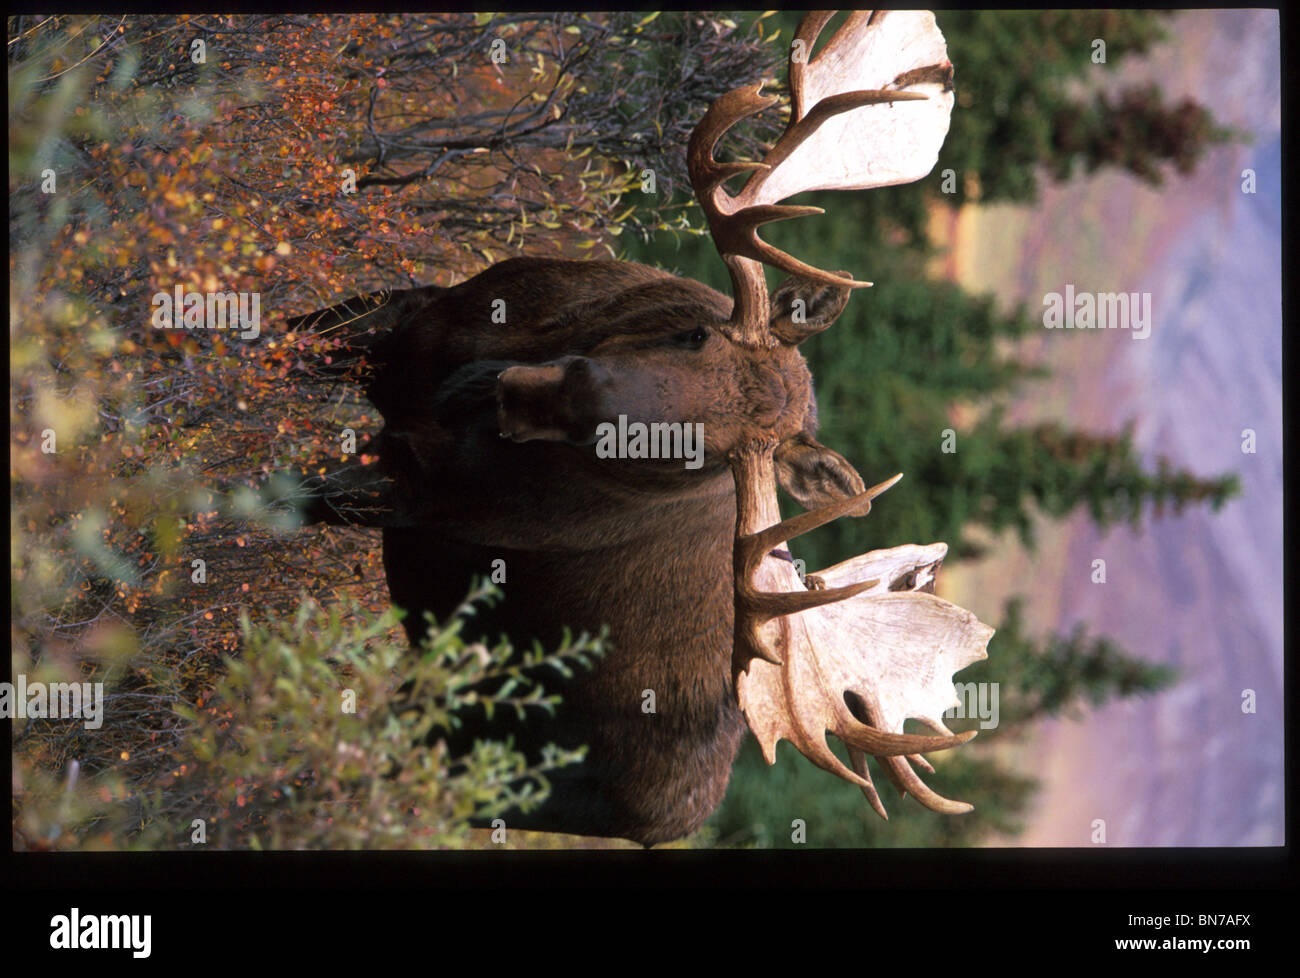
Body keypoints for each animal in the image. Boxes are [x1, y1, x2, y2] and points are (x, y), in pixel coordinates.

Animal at [282, 10, 993, 847]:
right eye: (696, 334)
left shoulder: (422, 493)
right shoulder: (407, 326)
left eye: (712, 459)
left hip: (484, 759)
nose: (545, 397)